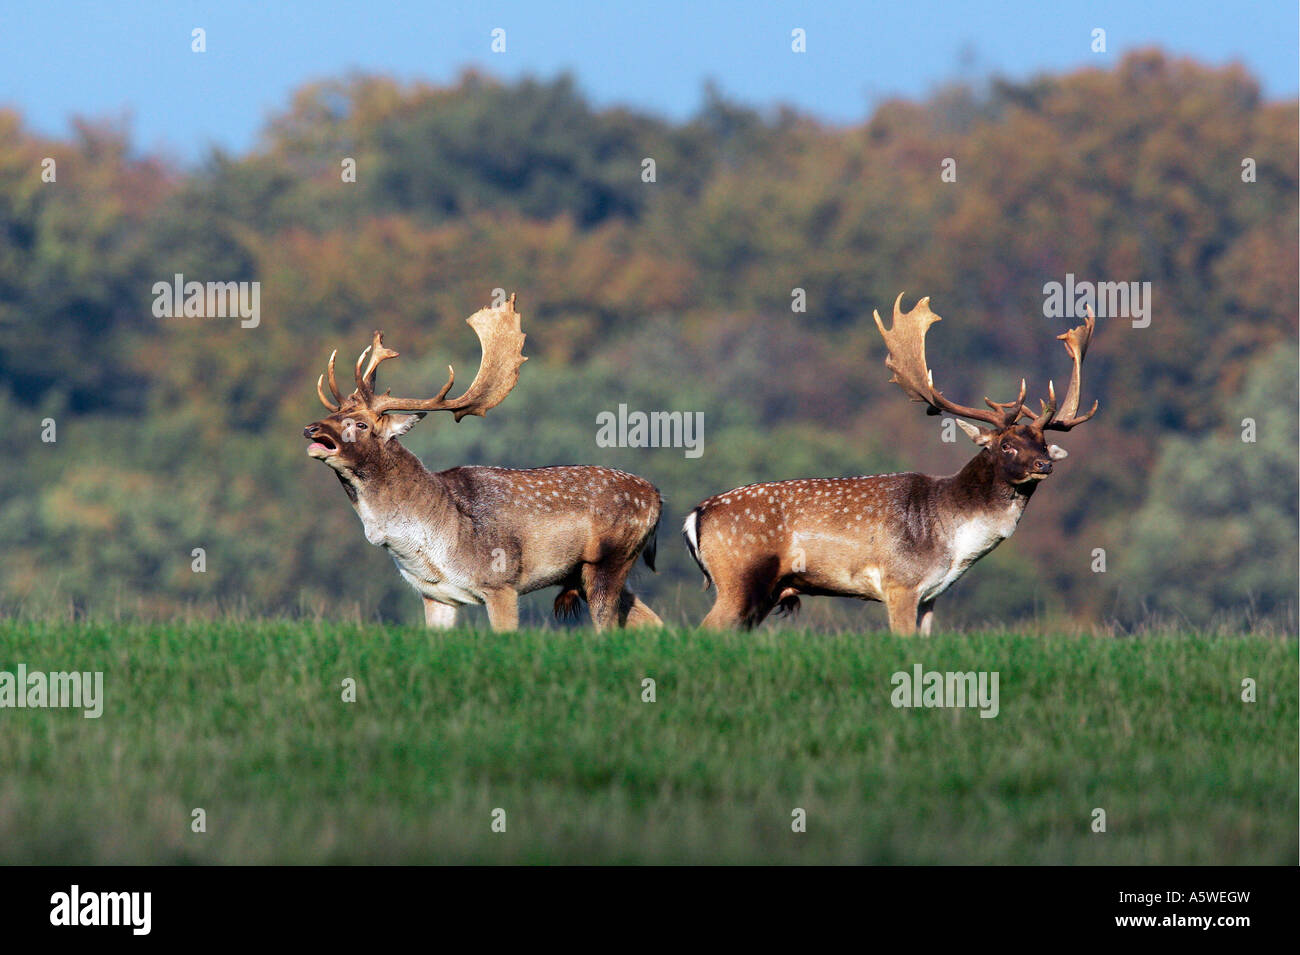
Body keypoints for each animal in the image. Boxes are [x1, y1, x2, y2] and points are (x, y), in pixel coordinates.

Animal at [304, 295, 663, 632]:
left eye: (361, 424)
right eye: (335, 413)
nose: (311, 429)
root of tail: (657, 498)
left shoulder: (500, 581)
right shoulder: (435, 594)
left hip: (608, 560)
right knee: (653, 622)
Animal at [683, 294, 1099, 634]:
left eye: (1043, 443)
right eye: (1007, 445)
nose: (1044, 465)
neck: (952, 541)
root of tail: (695, 515)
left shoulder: (931, 596)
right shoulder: (900, 582)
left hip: (764, 592)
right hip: (739, 576)